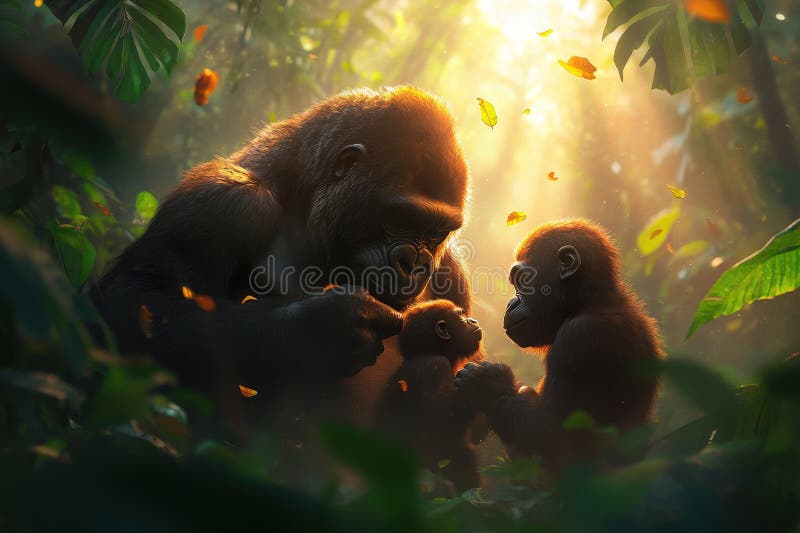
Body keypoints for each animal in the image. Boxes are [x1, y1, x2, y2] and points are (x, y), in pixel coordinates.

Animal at [455, 219, 664, 467]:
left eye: (522, 280)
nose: (511, 303)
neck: (587, 303)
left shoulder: (578, 337)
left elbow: (553, 436)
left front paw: (488, 384)